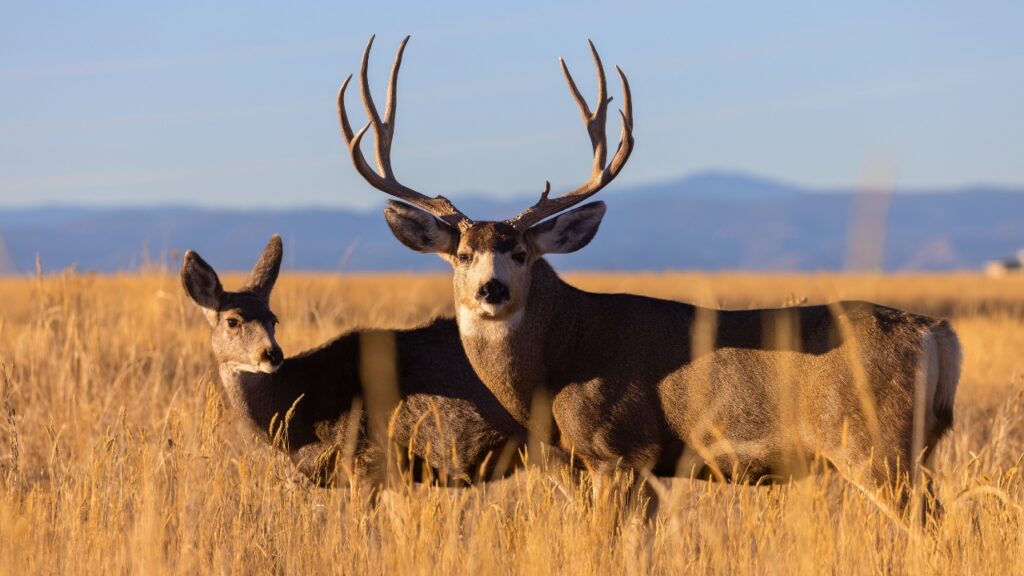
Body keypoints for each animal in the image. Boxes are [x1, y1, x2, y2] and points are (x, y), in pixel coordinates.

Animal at [336, 36, 961, 516]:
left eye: (523, 253)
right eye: (463, 254)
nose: (493, 290)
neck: (560, 357)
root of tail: (938, 332)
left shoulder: (618, 449)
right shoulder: (587, 462)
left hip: (874, 446)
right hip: (917, 447)